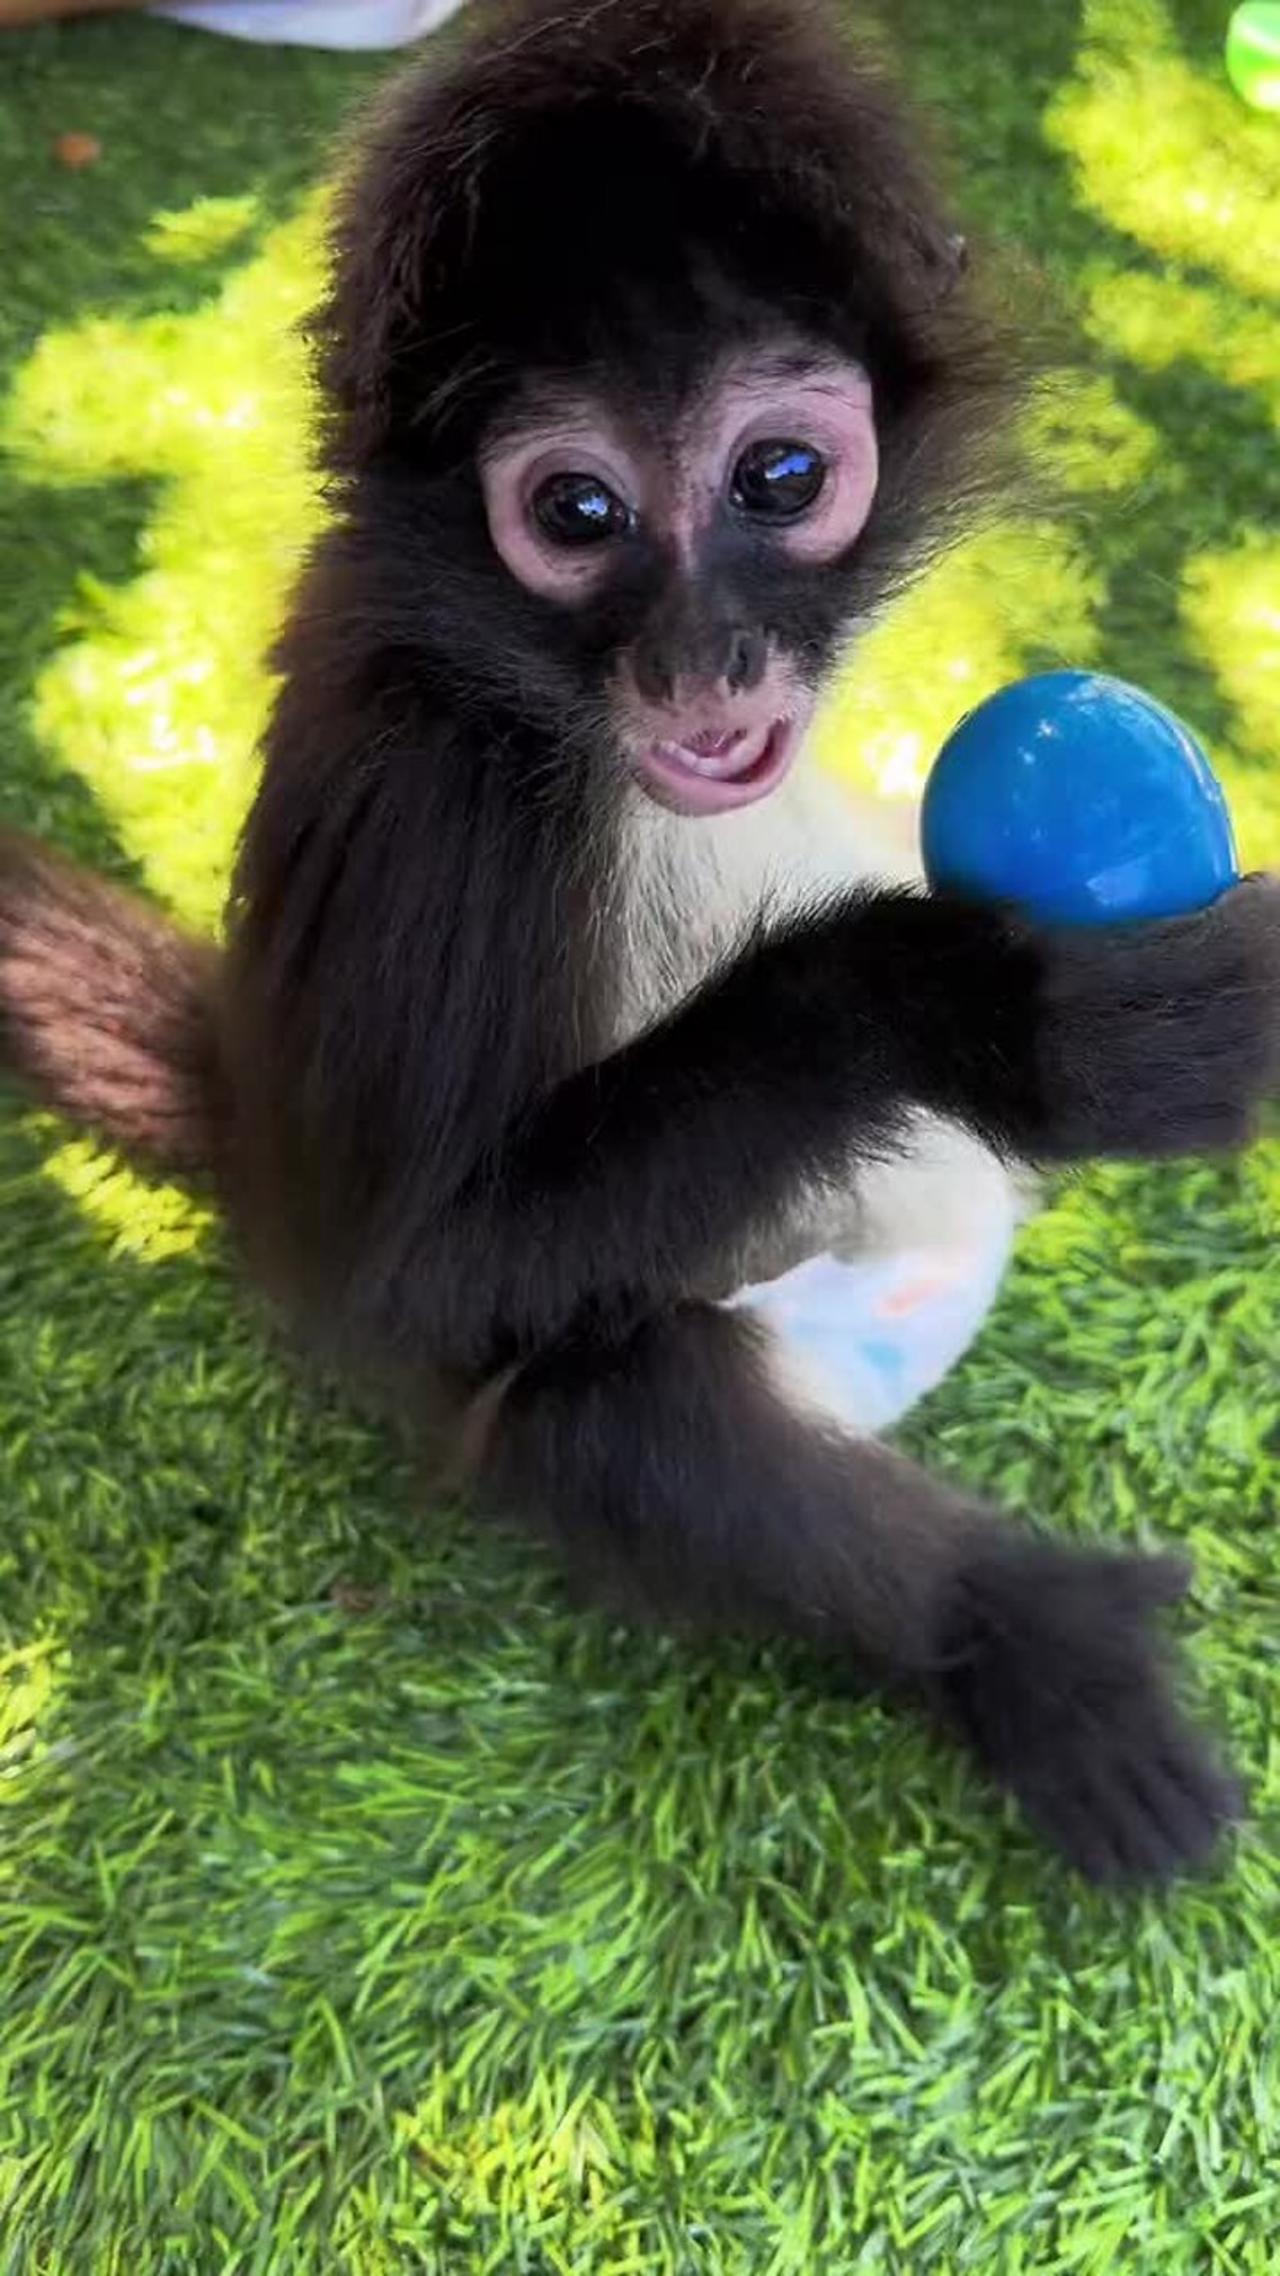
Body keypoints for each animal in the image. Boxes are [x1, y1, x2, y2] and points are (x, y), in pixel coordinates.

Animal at [1, 0, 1278, 1886]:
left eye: (783, 477)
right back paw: (1019, 1639)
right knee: (602, 1397)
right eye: (578, 516)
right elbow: (420, 1278)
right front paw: (986, 1015)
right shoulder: (438, 788)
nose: (700, 660)